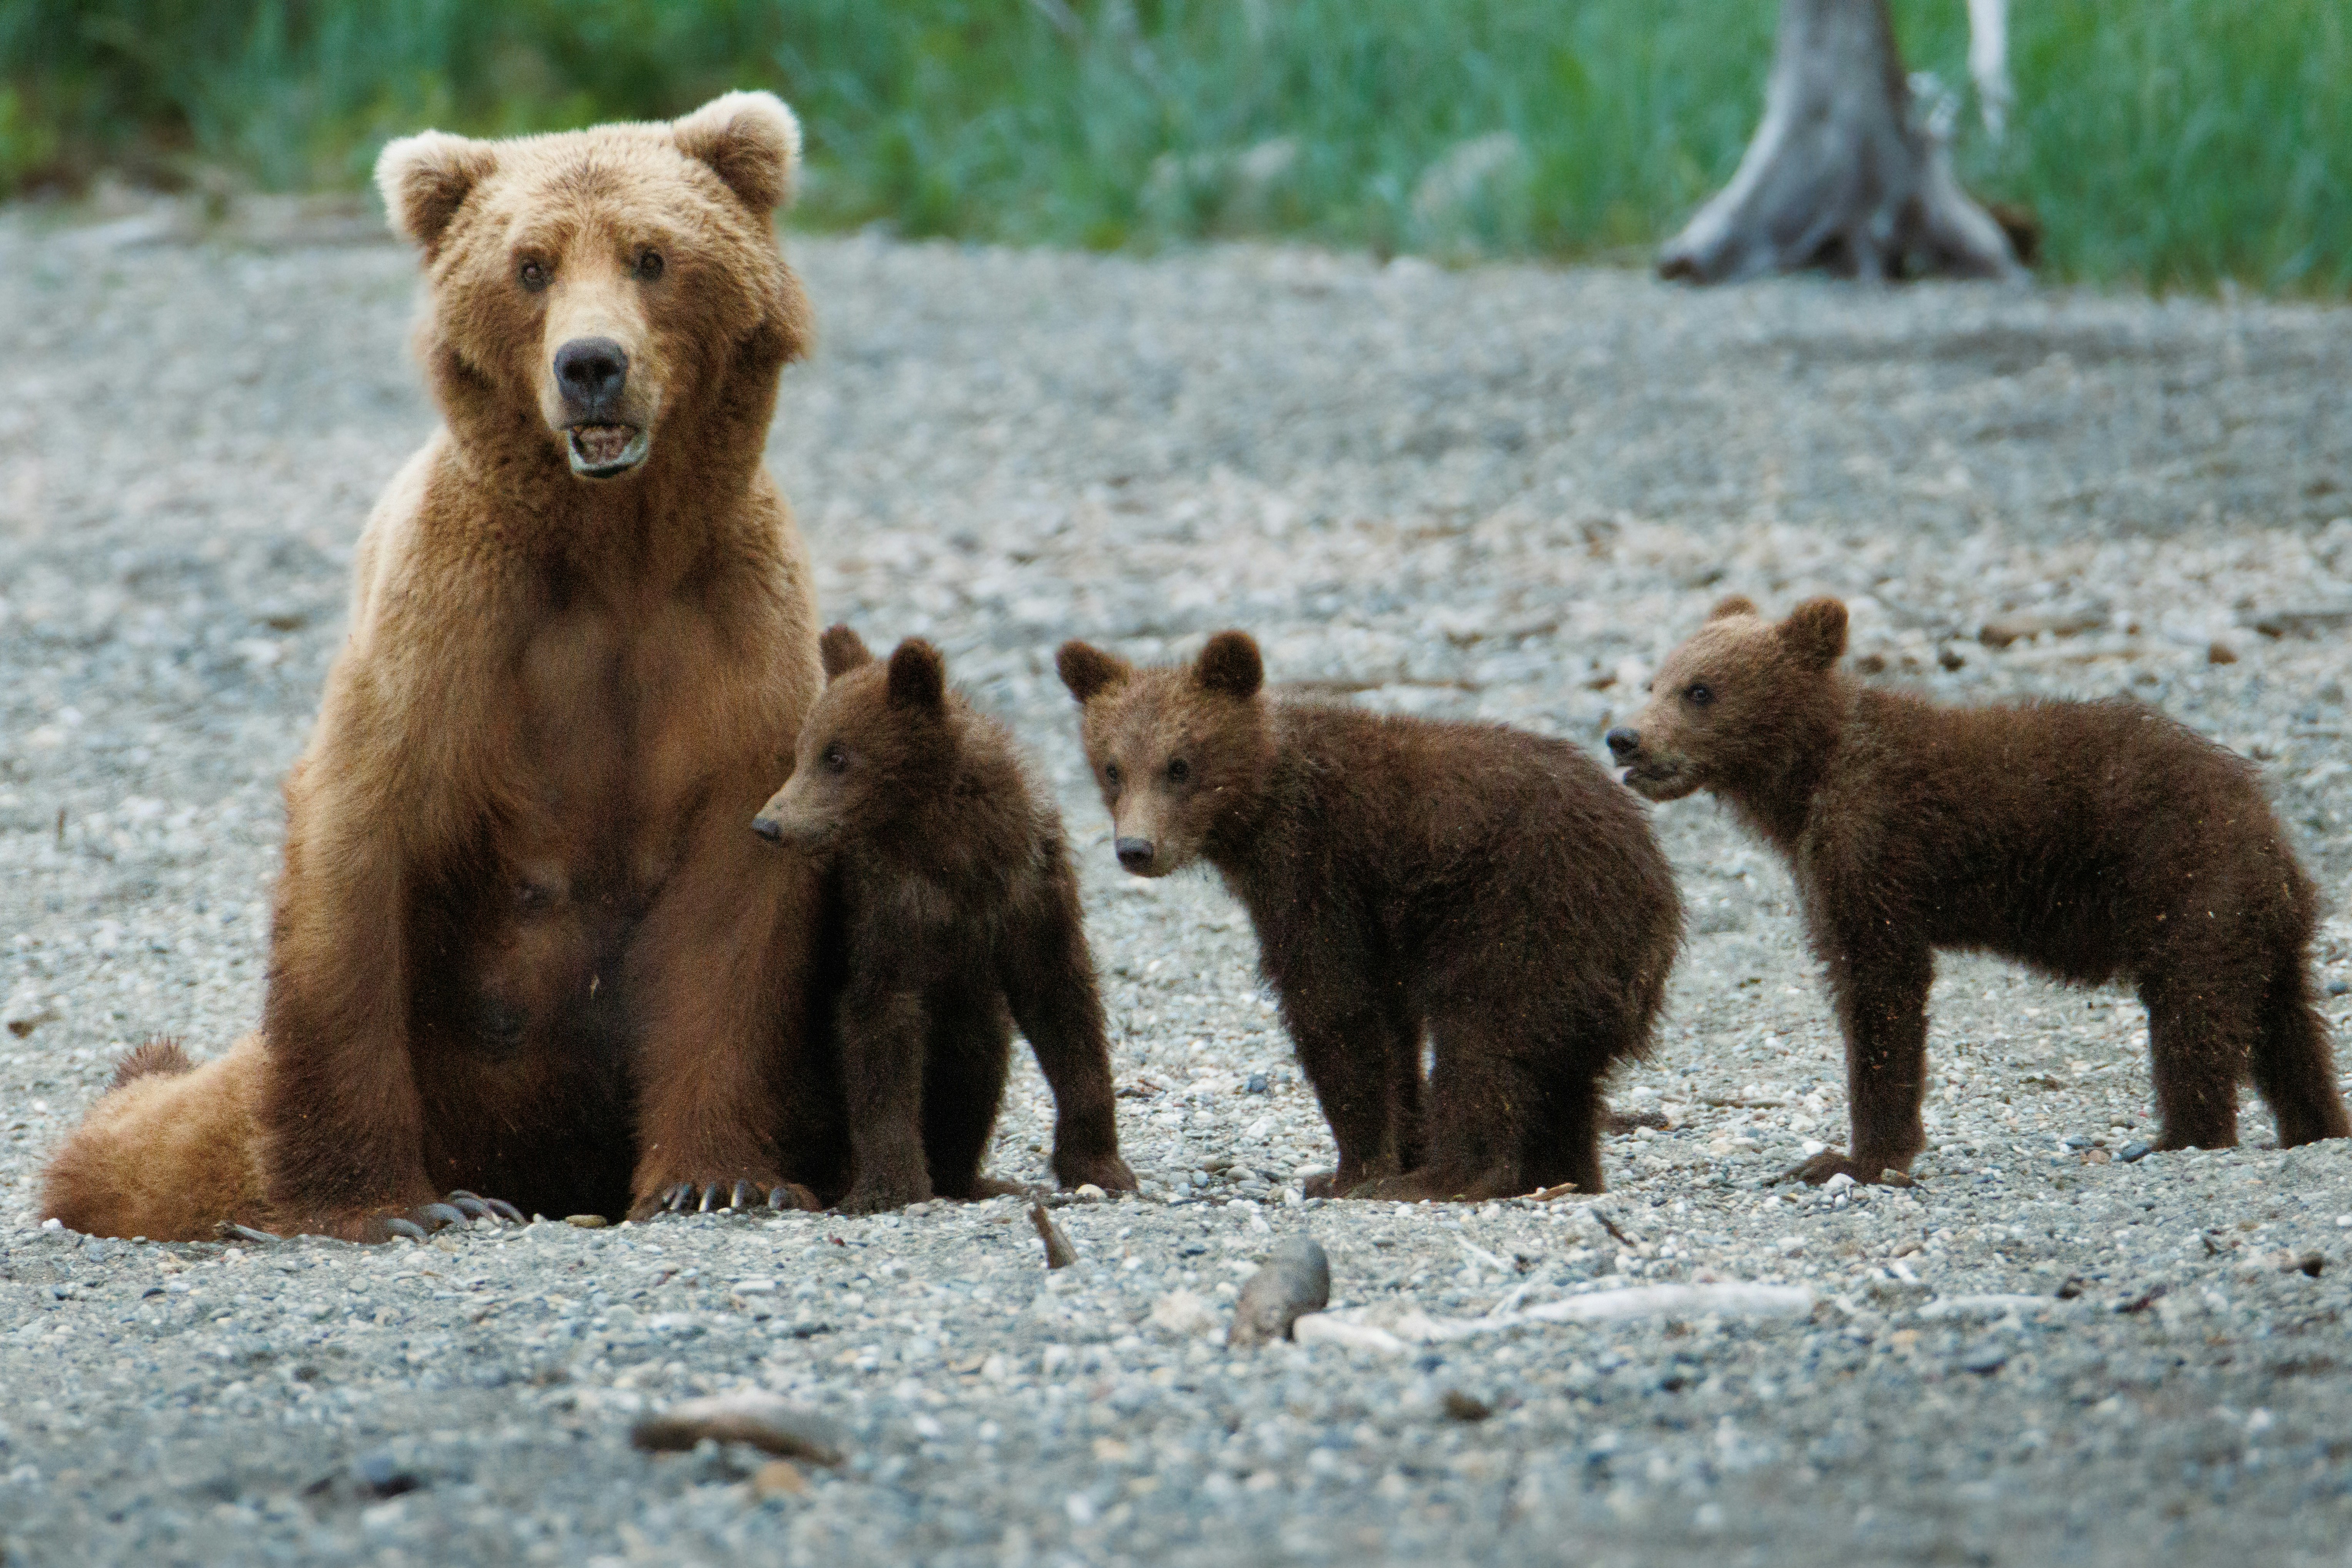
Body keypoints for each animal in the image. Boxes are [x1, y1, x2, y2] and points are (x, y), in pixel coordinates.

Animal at [41, 93, 842, 1241]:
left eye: (652, 255)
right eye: (530, 266)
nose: (590, 364)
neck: (614, 552)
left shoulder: (730, 633)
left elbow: (734, 904)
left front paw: (717, 1177)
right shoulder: (453, 626)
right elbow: (363, 846)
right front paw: (396, 1204)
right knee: (162, 1139)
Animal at [749, 626, 1137, 1213]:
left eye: (837, 755)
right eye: (801, 752)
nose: (769, 824)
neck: (946, 841)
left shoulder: (1029, 884)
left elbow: (1063, 1007)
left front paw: (1100, 1166)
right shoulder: (887, 912)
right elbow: (879, 1033)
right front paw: (889, 1185)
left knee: (977, 1061)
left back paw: (975, 1179)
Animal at [1056, 630, 1683, 1201]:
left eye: (1179, 766)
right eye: (1112, 768)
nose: (1136, 849)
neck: (1257, 813)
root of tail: (1655, 878)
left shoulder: (1319, 867)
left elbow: (1334, 1007)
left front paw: (1353, 1172)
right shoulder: (1383, 920)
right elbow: (1392, 1022)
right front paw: (1393, 1151)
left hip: (1529, 913)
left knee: (1482, 1038)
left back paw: (1447, 1178)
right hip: (1590, 964)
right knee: (1565, 1070)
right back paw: (1562, 1173)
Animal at [1607, 594, 2350, 1185]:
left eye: (1699, 690)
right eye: (1655, 680)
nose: (1623, 738)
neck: (1803, 783)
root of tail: (2272, 833)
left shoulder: (1875, 845)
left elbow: (1881, 992)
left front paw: (1856, 1156)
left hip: (2188, 888)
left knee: (2192, 1018)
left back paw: (2180, 1136)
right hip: (2257, 925)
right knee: (2288, 1029)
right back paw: (2315, 1124)